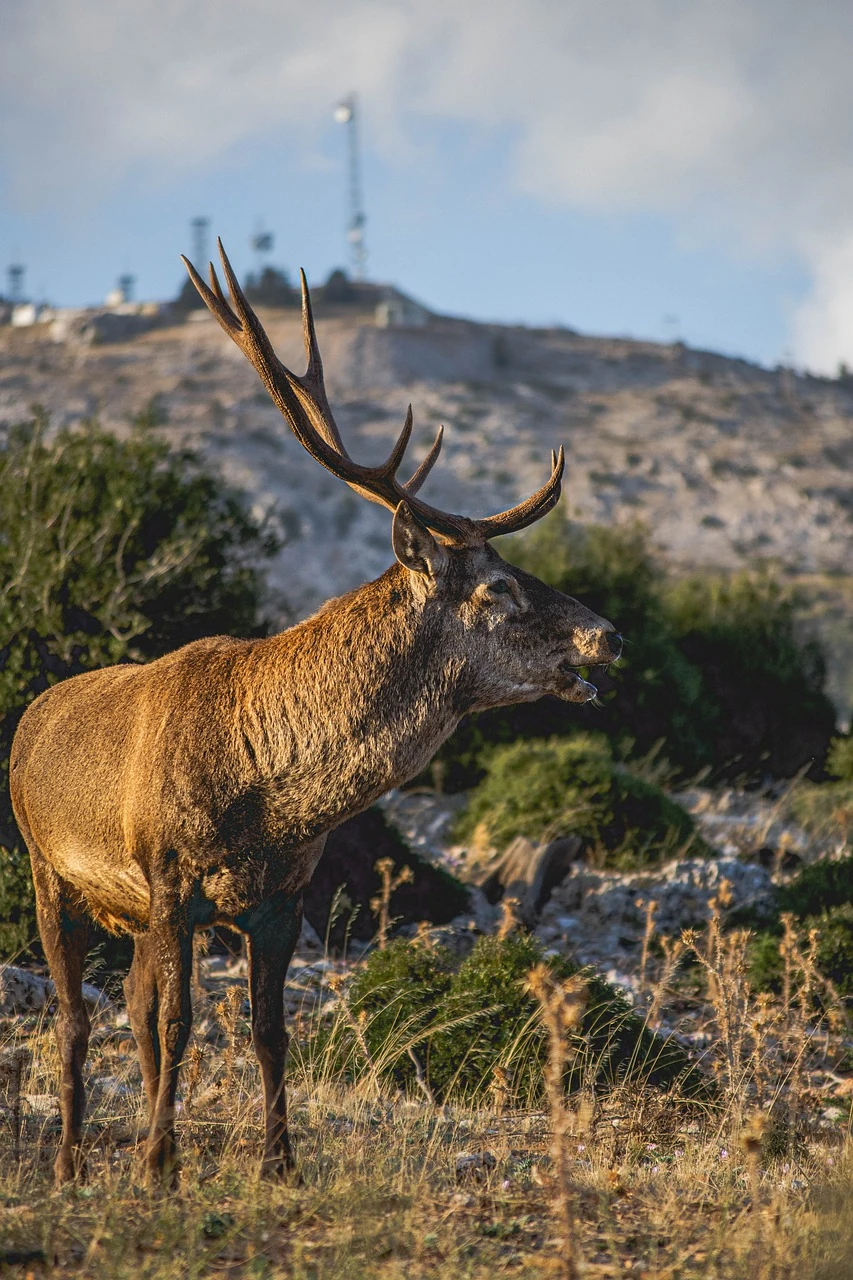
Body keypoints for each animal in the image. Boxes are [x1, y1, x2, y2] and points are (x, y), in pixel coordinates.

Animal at [9, 240, 622, 1187]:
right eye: (498, 589)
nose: (609, 636)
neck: (271, 798)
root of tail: (32, 715)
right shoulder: (172, 878)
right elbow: (180, 1024)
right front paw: (160, 1165)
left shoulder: (282, 896)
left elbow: (268, 1032)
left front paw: (279, 1163)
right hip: (50, 872)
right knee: (79, 1020)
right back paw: (75, 1162)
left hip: (133, 912)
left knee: (134, 1008)